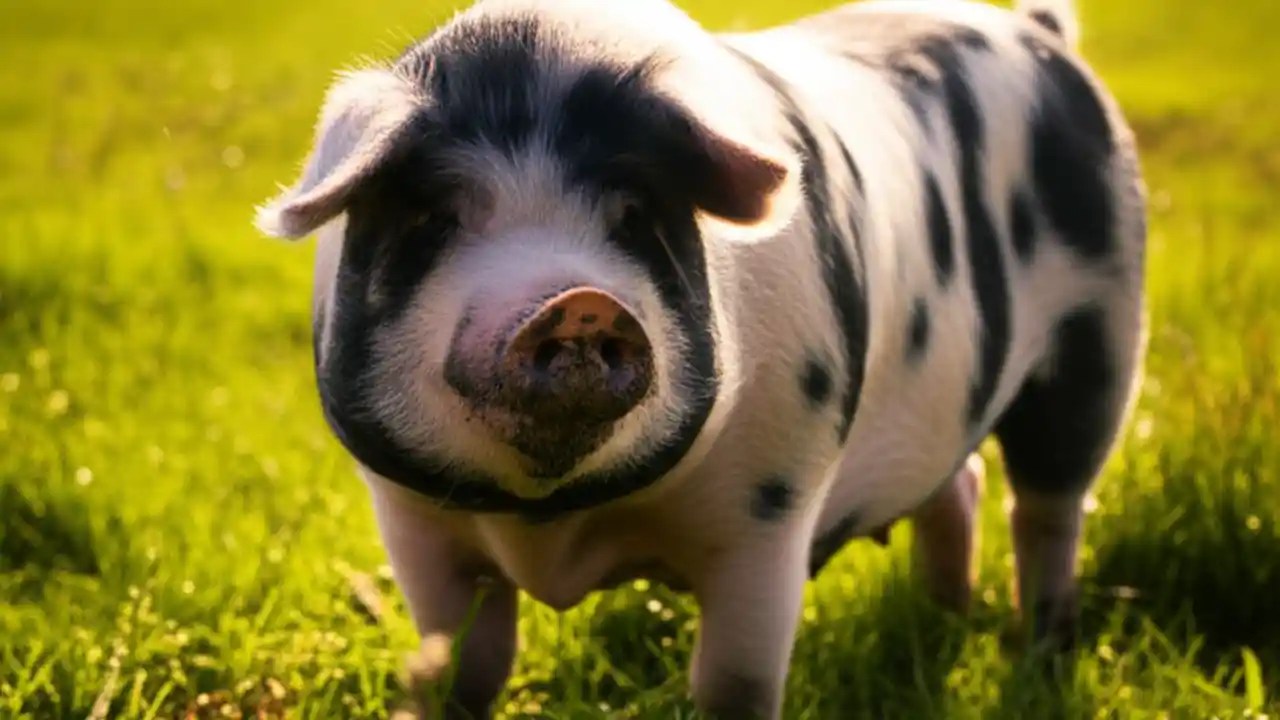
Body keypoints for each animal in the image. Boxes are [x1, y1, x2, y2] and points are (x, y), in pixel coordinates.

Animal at [256, 0, 1146, 716]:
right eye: (437, 216)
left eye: (631, 213)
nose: (578, 300)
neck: (552, 522)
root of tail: (1037, 31)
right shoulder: (413, 521)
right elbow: (463, 666)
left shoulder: (770, 507)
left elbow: (735, 683)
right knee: (959, 485)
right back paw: (946, 617)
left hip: (1100, 338)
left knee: (1047, 507)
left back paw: (1039, 657)